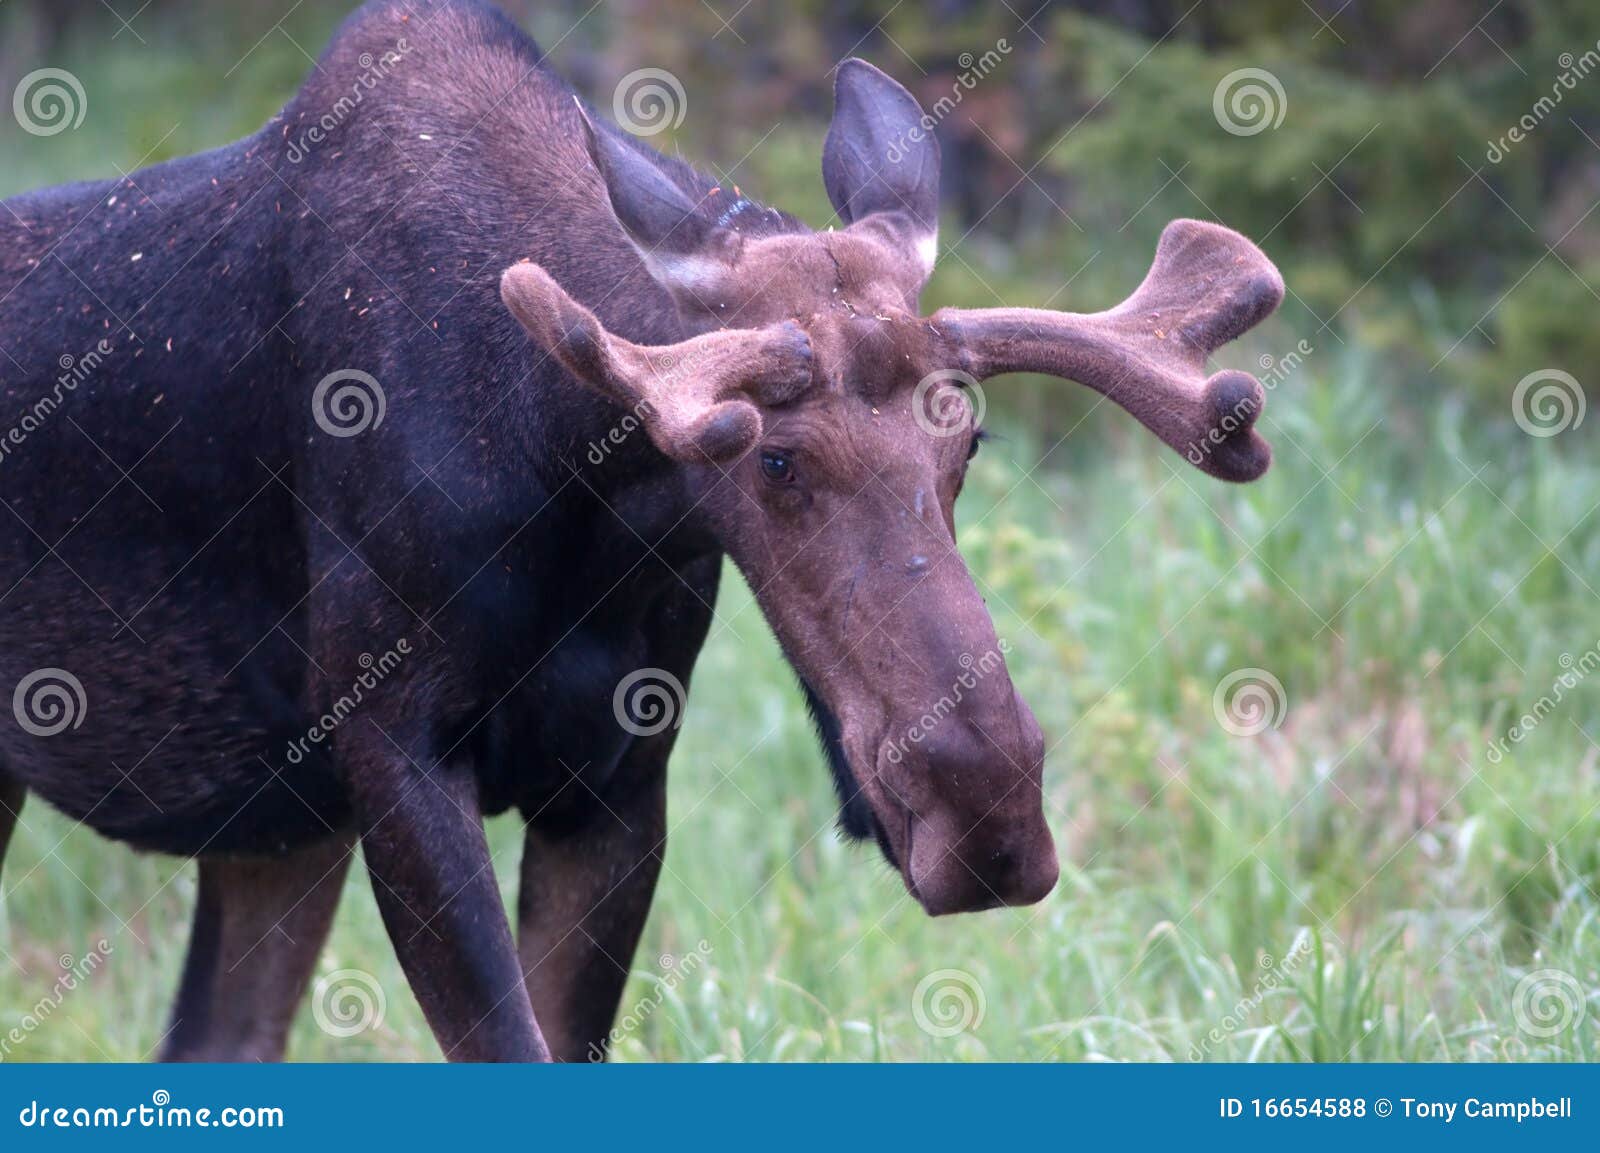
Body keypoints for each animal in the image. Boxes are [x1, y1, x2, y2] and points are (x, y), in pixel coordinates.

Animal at [0, 0, 1282, 1061]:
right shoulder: (393, 747)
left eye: (966, 443)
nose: (989, 815)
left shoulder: (614, 782)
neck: (558, 461)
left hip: (276, 834)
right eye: (769, 455)